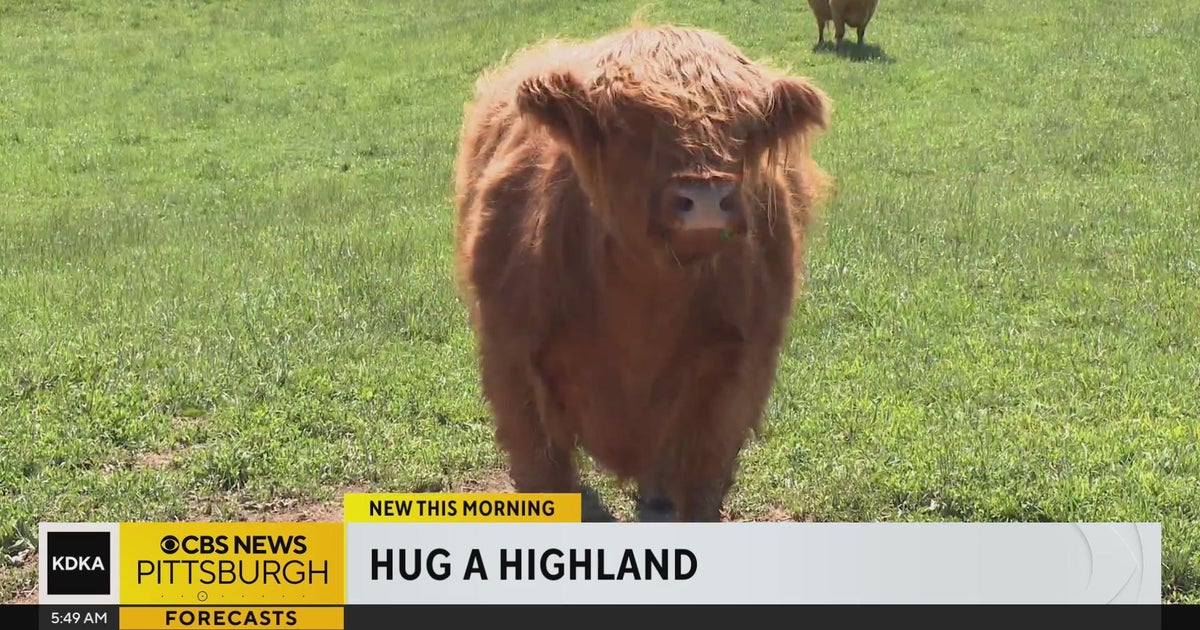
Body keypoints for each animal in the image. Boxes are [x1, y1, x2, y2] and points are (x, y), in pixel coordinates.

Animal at [452, 22, 832, 522]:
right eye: (624, 124)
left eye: (744, 128)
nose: (707, 198)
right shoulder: (516, 375)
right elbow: (544, 477)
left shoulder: (732, 382)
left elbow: (701, 492)